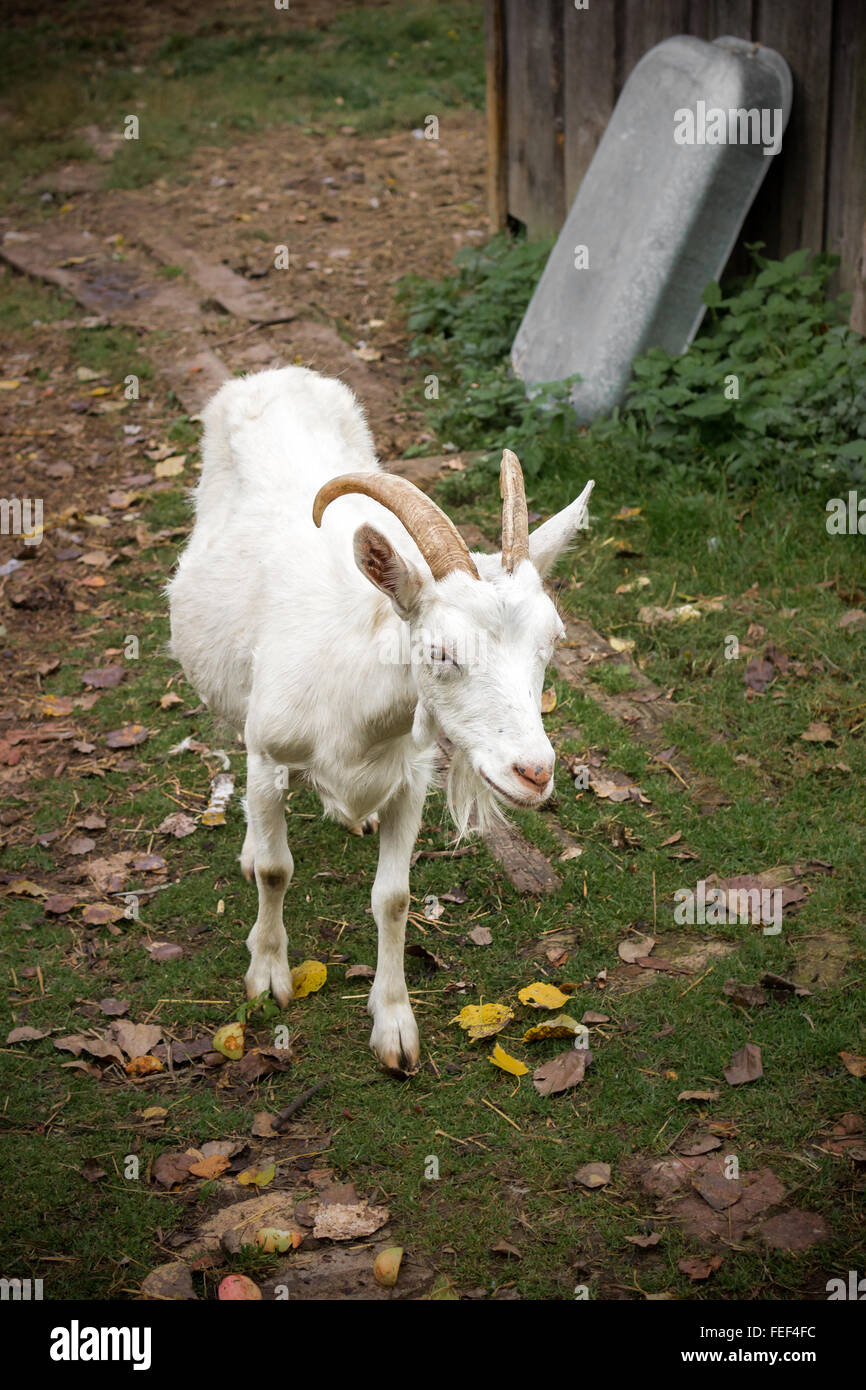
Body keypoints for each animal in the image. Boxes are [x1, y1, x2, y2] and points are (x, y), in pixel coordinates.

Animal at [168, 366, 593, 1075]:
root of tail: (278, 373)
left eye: (552, 640)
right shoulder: (270, 752)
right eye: (440, 651)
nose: (534, 772)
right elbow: (277, 870)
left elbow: (393, 897)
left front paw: (394, 1025)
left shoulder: (410, 778)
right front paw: (268, 973)